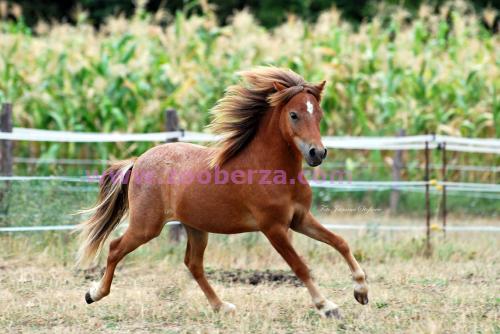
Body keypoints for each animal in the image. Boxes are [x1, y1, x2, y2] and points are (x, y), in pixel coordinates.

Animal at [77, 67, 368, 318]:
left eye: (319, 114)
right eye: (294, 115)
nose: (317, 153)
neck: (270, 170)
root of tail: (137, 161)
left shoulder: (300, 219)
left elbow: (340, 242)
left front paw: (361, 291)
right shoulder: (273, 228)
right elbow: (300, 266)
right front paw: (328, 307)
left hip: (196, 227)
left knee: (193, 265)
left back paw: (222, 307)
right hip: (146, 226)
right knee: (115, 248)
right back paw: (93, 293)